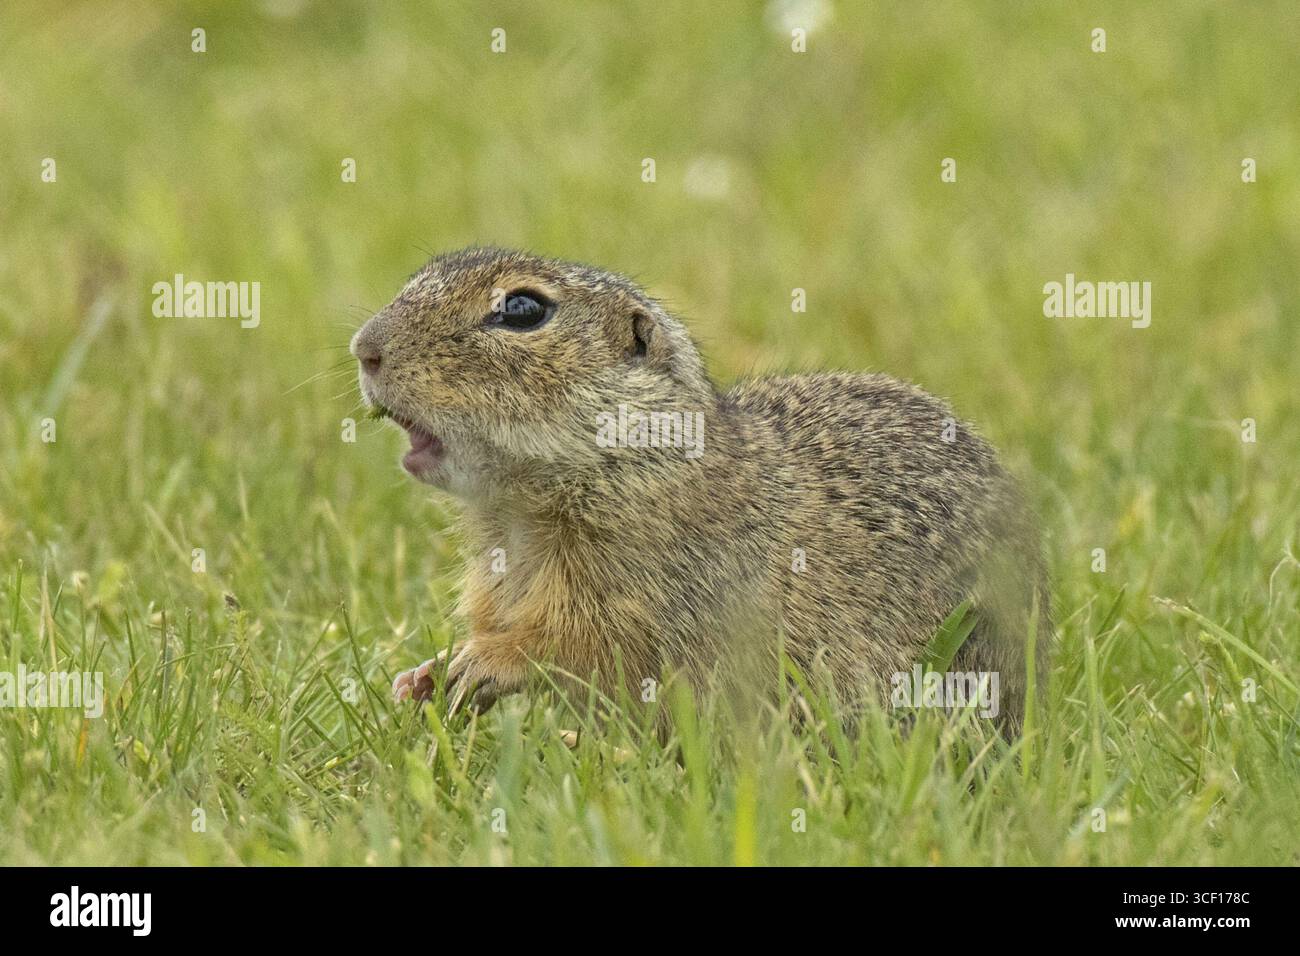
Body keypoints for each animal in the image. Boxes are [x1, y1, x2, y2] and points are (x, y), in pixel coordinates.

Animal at [351, 247, 1050, 730]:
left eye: (523, 309)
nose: (364, 348)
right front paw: (422, 677)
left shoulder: (653, 587)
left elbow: (585, 645)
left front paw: (481, 663)